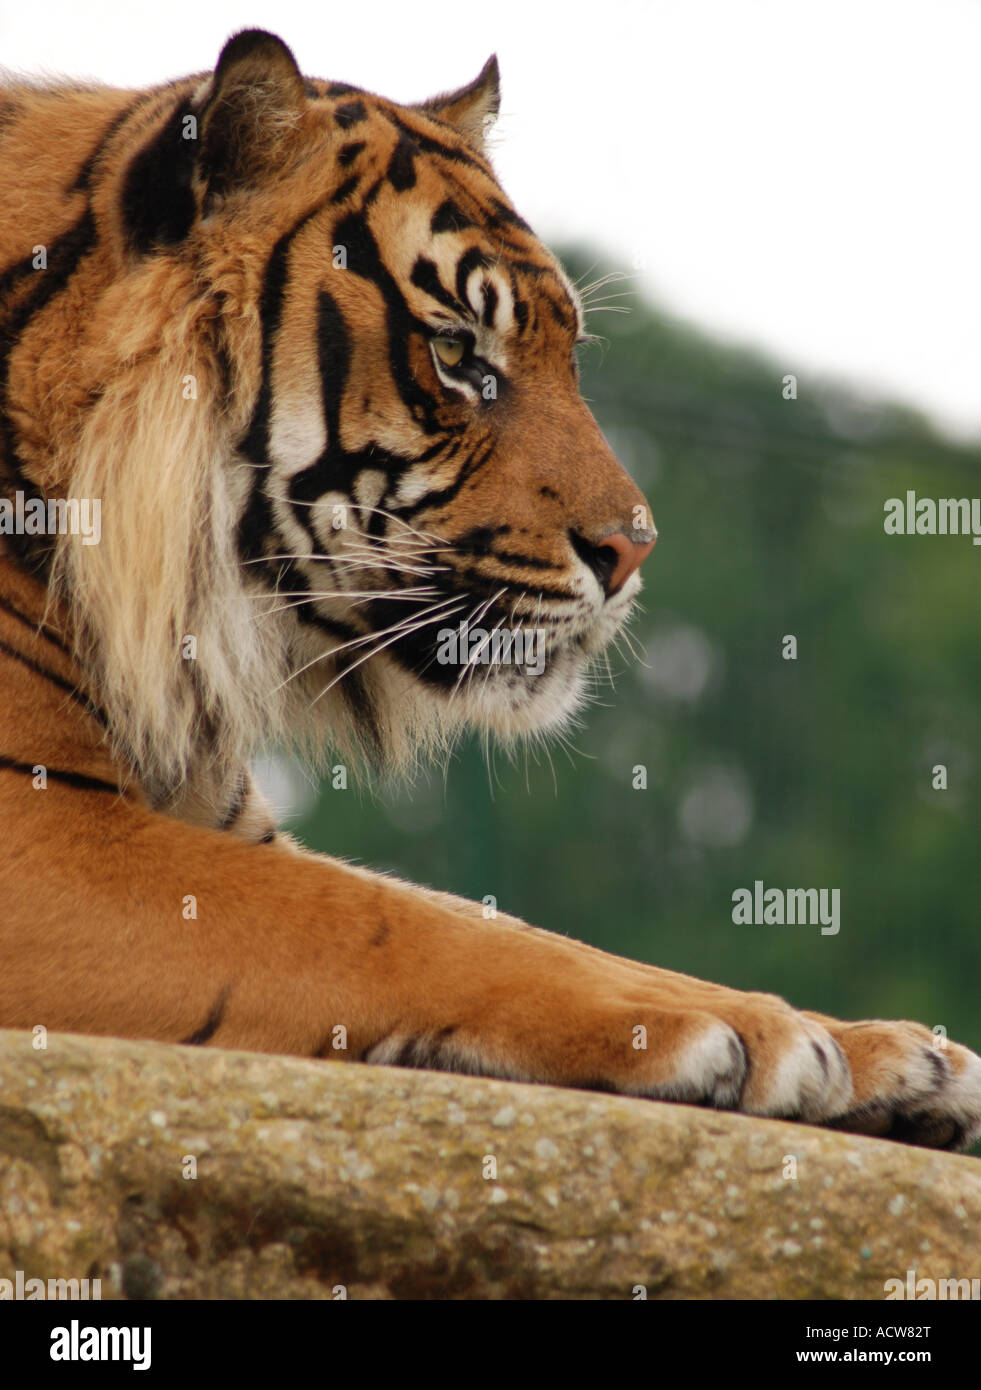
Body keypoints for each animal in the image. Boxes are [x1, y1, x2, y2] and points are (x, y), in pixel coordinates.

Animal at [0, 28, 978, 1151]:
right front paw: (733, 1029)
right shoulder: (40, 832)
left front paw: (896, 1059)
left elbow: (495, 917)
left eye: (568, 355)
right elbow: (391, 923)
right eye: (458, 351)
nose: (635, 549)